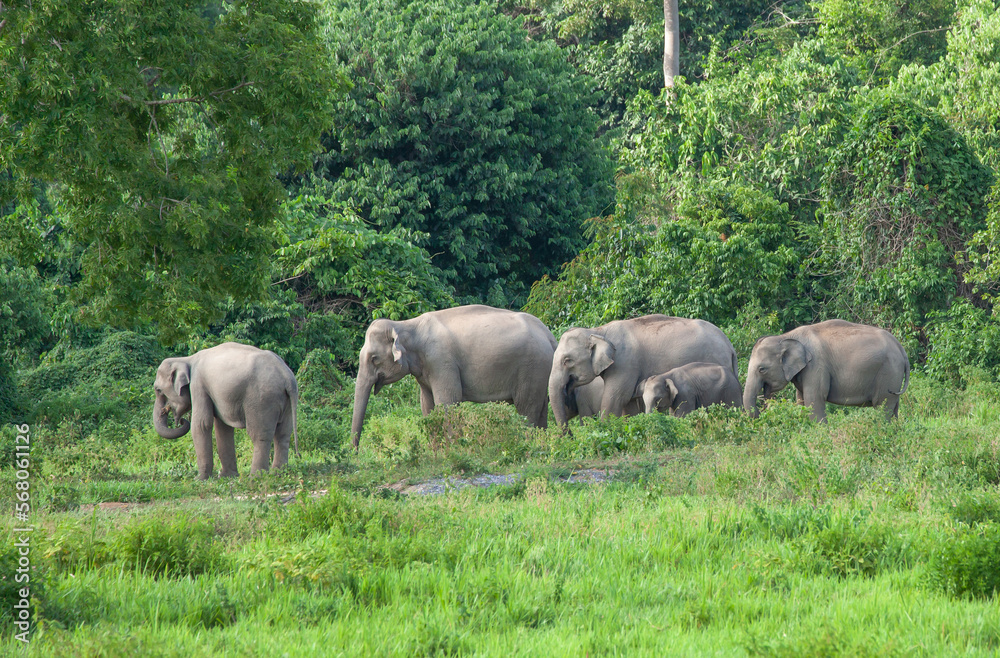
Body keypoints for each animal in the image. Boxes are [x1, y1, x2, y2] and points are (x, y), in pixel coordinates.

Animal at [152, 342, 299, 480]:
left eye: (158, 390)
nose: (182, 421)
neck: (186, 359)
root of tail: (286, 376)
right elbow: (223, 427)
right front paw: (227, 476)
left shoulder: (198, 385)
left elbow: (202, 424)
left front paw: (200, 479)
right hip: (285, 400)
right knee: (283, 434)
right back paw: (278, 474)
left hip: (262, 400)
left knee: (259, 435)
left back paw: (256, 477)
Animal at [351, 305, 557, 448]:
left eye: (374, 359)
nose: (355, 453)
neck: (406, 325)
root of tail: (549, 335)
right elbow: (427, 405)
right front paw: (435, 451)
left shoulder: (441, 361)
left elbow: (448, 401)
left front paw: (453, 451)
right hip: (540, 371)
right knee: (540, 408)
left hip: (532, 367)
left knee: (526, 408)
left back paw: (527, 445)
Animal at [548, 315, 738, 428]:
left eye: (567, 360)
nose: (570, 437)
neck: (598, 331)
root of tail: (729, 345)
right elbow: (629, 404)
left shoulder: (625, 365)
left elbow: (615, 399)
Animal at [743, 319, 911, 421]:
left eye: (762, 369)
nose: (762, 410)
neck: (786, 336)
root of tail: (901, 348)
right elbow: (801, 400)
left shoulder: (816, 366)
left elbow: (814, 399)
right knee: (893, 407)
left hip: (888, 373)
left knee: (883, 407)